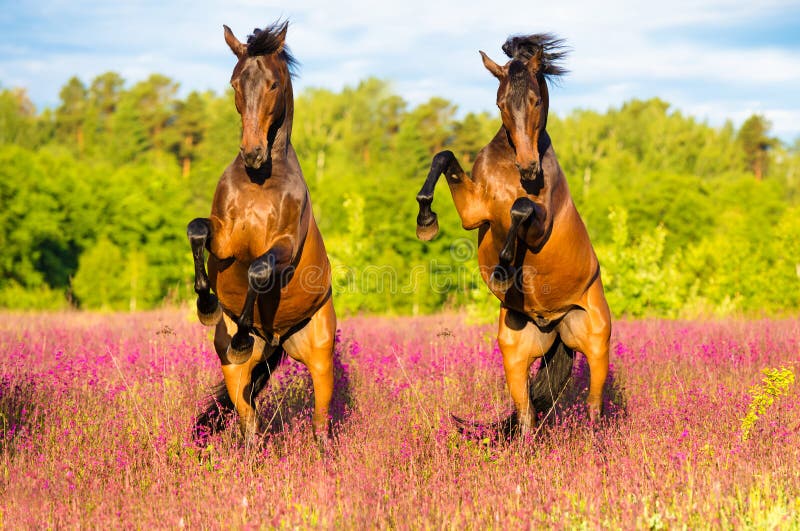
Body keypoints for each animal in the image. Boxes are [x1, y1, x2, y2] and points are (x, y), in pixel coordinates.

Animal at [187, 21, 336, 450]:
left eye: (272, 84)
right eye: (235, 83)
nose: (252, 152)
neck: (260, 182)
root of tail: (276, 340)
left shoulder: (282, 247)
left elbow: (257, 269)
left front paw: (236, 331)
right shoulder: (224, 240)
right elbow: (196, 230)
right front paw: (207, 303)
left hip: (320, 360)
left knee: (321, 425)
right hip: (235, 371)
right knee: (249, 420)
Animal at [415, 34, 611, 437]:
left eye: (536, 99)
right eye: (501, 103)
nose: (529, 168)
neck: (510, 174)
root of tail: (554, 322)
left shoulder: (536, 228)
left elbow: (520, 209)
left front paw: (504, 269)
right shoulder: (474, 213)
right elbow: (443, 157)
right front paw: (425, 220)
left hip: (597, 346)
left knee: (595, 408)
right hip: (514, 354)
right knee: (525, 417)